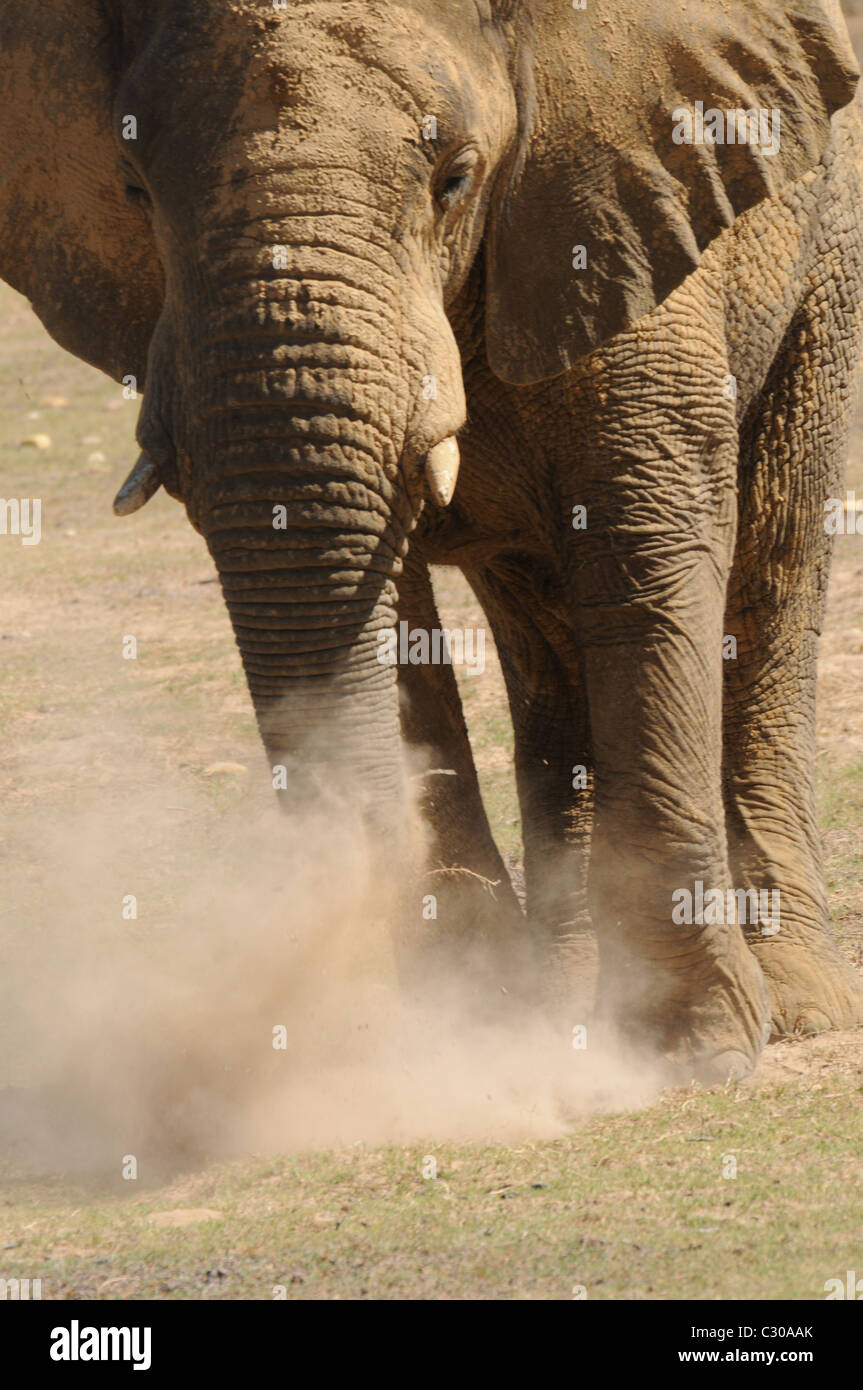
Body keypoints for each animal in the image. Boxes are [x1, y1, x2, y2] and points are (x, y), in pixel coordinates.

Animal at [2, 0, 863, 1083]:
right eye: (132, 189)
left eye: (453, 177)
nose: (335, 959)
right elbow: (388, 597)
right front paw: (469, 1017)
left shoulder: (619, 210)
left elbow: (646, 537)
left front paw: (689, 1049)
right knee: (538, 622)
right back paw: (563, 991)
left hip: (825, 266)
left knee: (772, 564)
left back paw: (791, 1001)